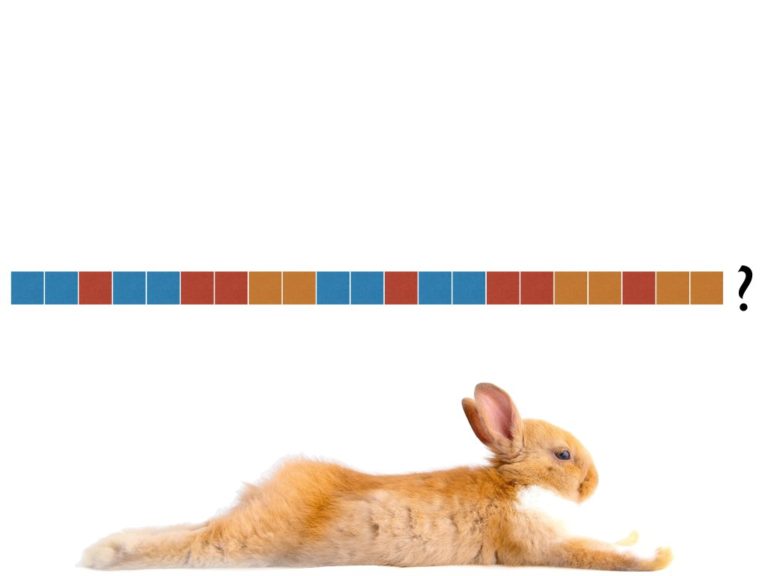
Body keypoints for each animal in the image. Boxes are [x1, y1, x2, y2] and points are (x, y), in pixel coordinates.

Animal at [81, 383, 671, 570]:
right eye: (564, 456)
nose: (594, 485)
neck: (514, 486)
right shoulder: (537, 546)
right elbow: (595, 554)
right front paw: (658, 557)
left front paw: (641, 537)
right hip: (246, 544)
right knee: (191, 545)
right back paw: (103, 555)